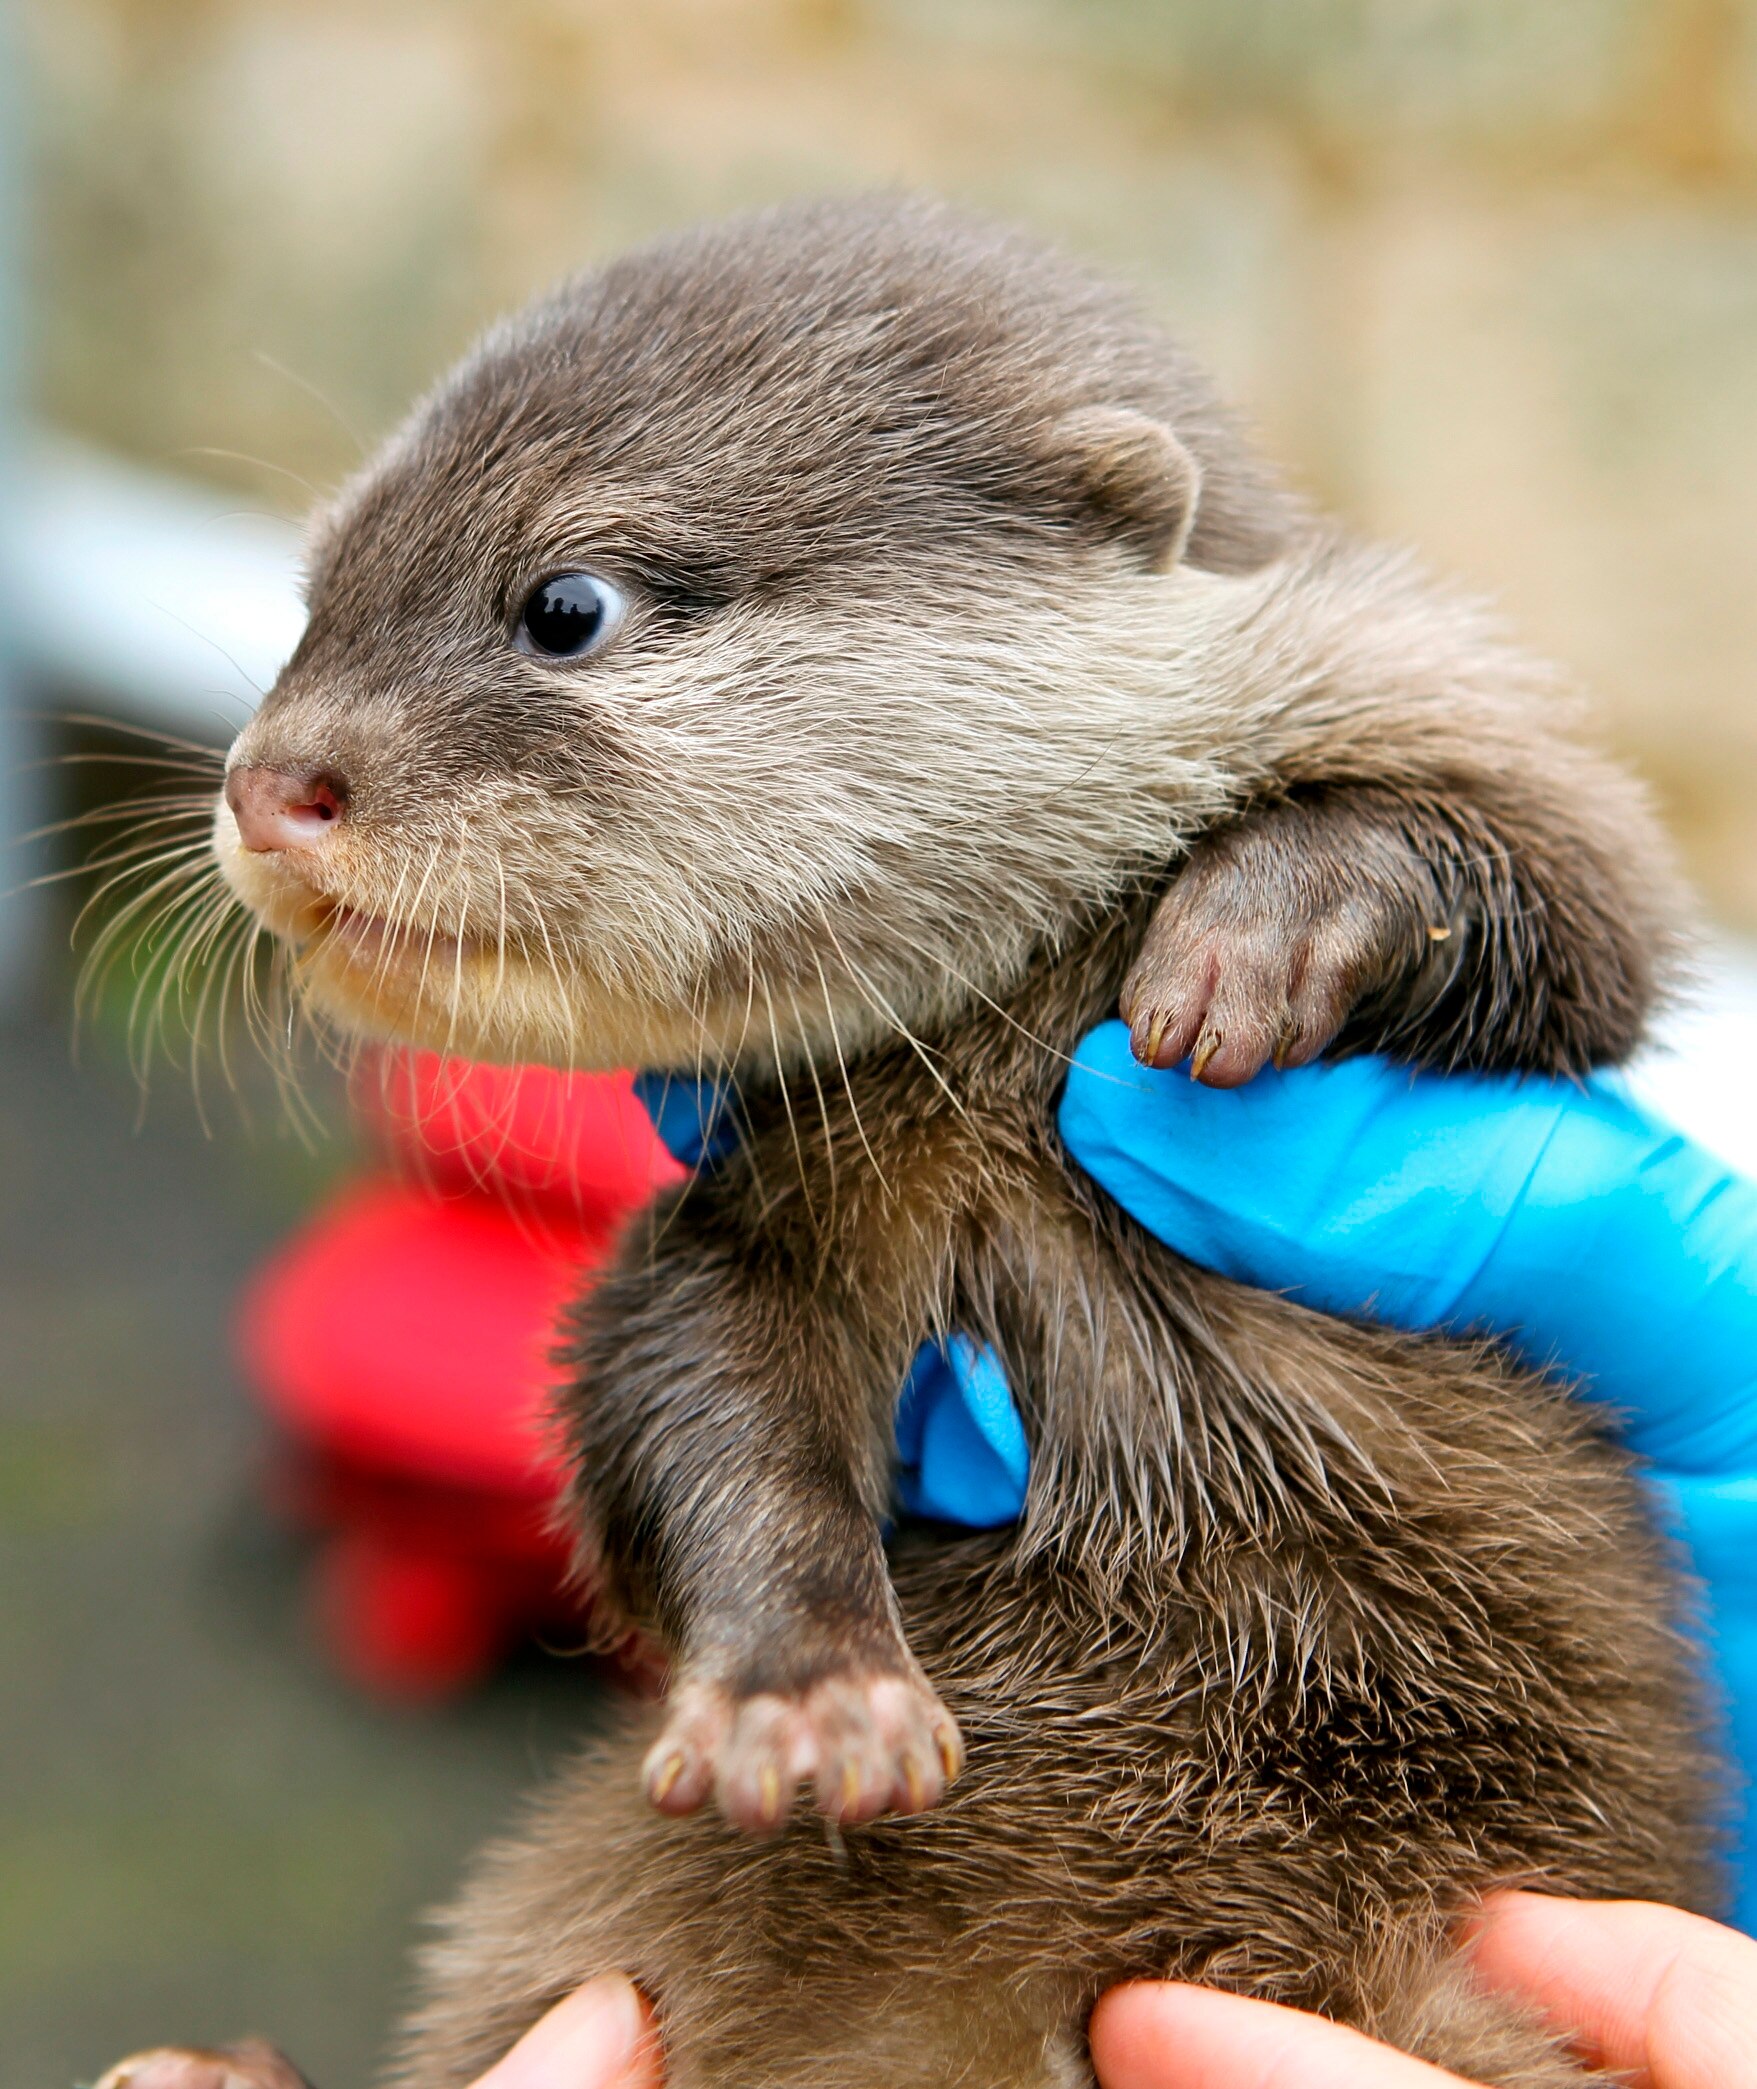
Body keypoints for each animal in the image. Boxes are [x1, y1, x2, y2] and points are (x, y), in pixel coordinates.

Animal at [100, 196, 1723, 2089]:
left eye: (565, 606)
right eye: (312, 595)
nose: (268, 783)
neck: (1004, 1046)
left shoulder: (1458, 717)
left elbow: (1566, 902)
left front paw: (1251, 936)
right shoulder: (761, 1216)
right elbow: (685, 1399)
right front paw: (809, 1700)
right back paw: (210, 2068)